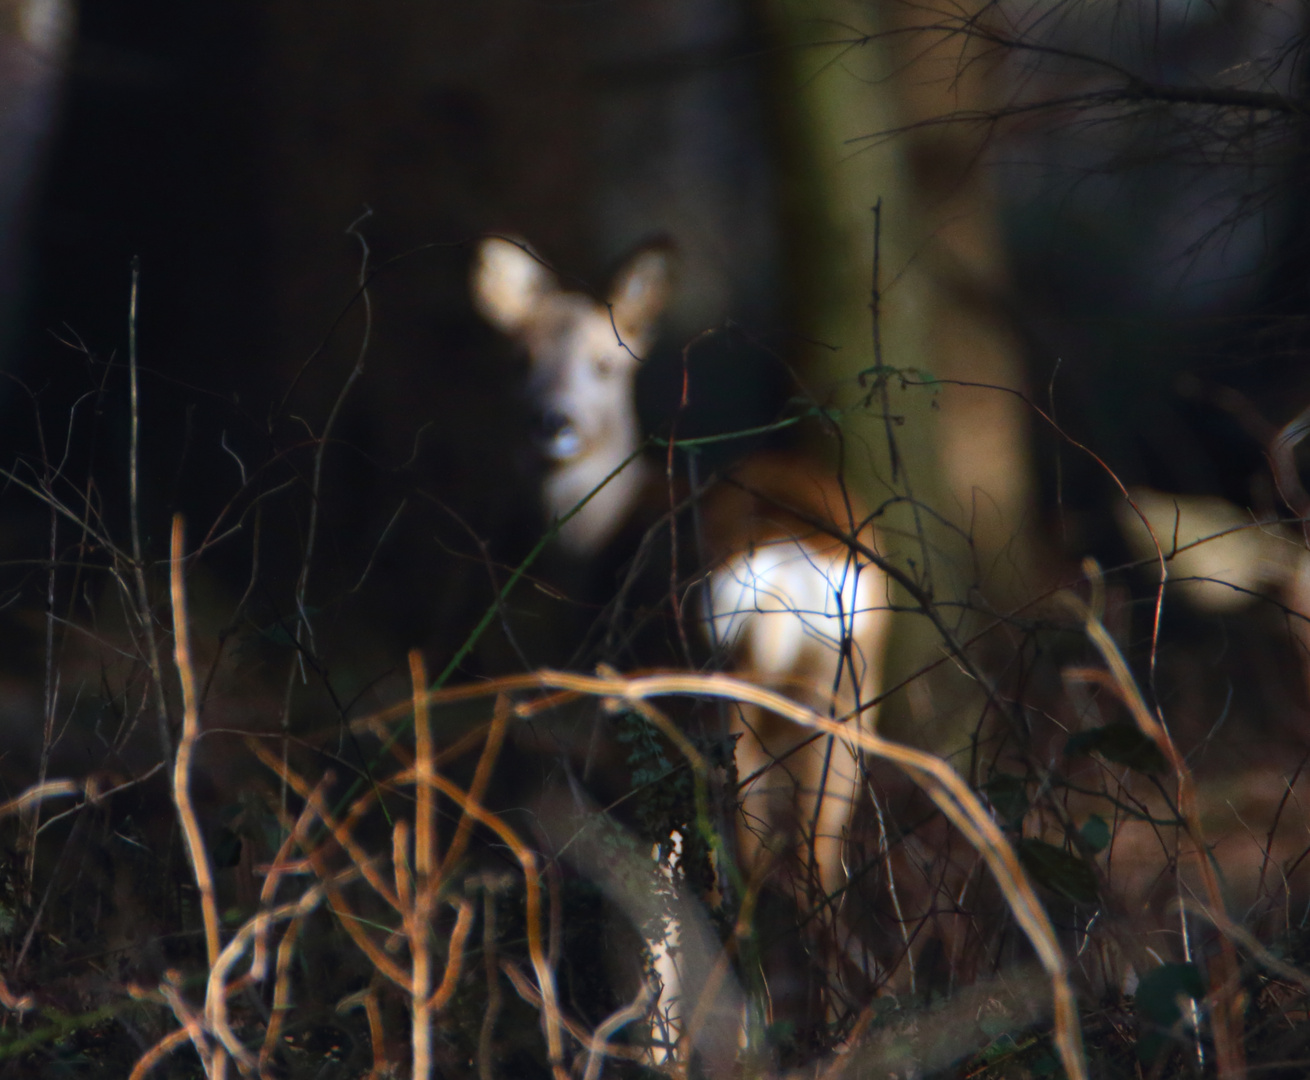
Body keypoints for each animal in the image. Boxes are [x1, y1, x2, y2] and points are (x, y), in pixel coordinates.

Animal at [470, 235, 891, 1055]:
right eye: (519, 357)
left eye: (606, 364)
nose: (553, 422)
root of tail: (797, 558)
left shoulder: (632, 721)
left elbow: (649, 885)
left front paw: (652, 1038)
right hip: (848, 702)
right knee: (821, 866)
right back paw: (833, 1035)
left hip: (721, 696)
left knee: (747, 876)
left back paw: (752, 1037)